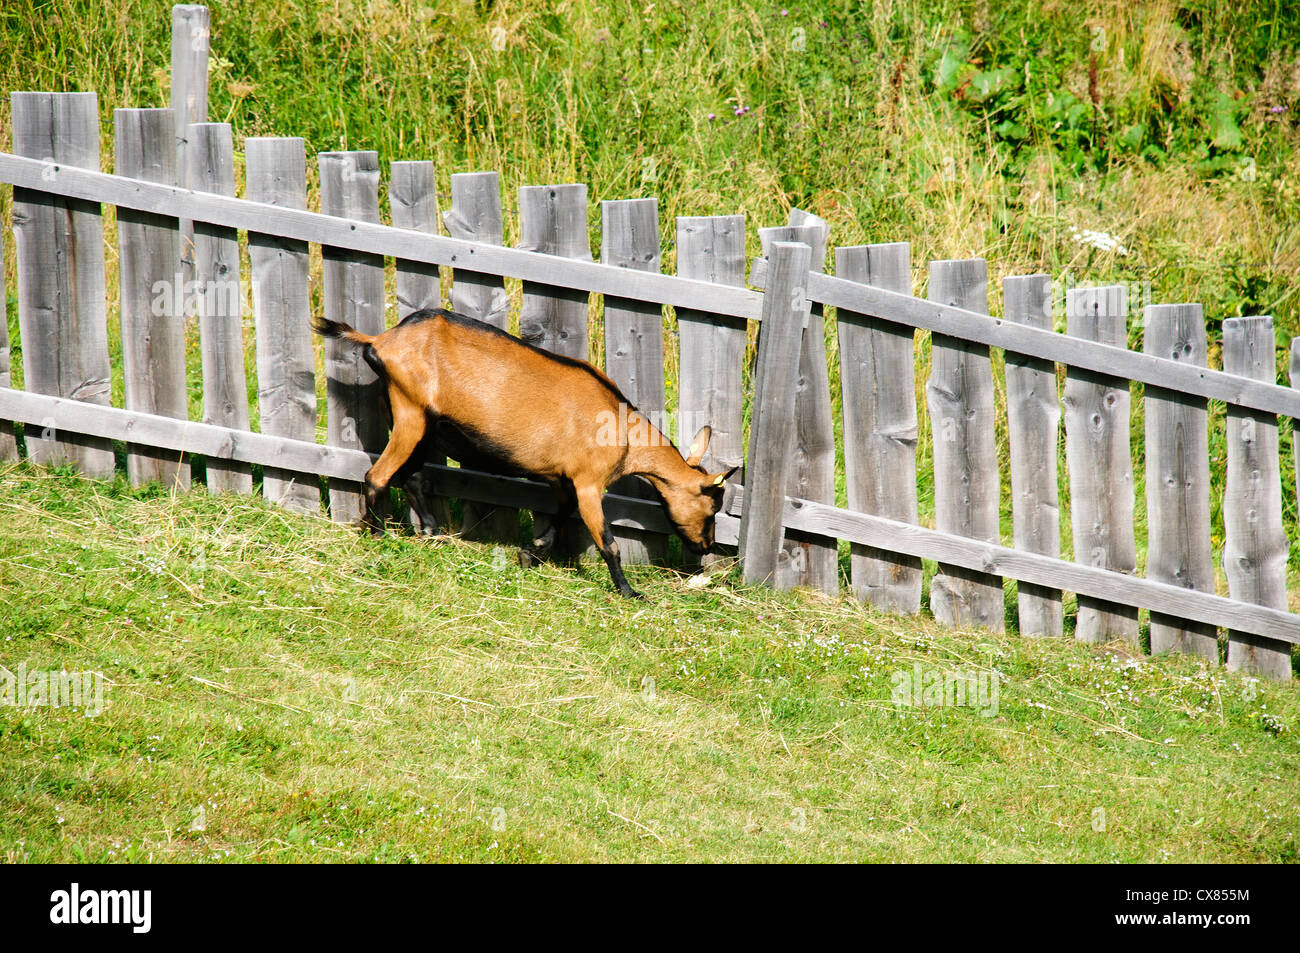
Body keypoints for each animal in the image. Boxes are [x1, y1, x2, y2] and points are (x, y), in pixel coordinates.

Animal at [313, 308, 737, 598]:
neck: (625, 433)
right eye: (712, 506)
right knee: (378, 475)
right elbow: (609, 542)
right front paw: (629, 592)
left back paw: (432, 532)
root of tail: (380, 340)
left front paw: (530, 554)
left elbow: (559, 517)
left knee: (412, 476)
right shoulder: (588, 482)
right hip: (409, 412)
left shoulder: (562, 480)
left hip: (420, 420)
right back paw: (375, 536)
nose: (707, 546)